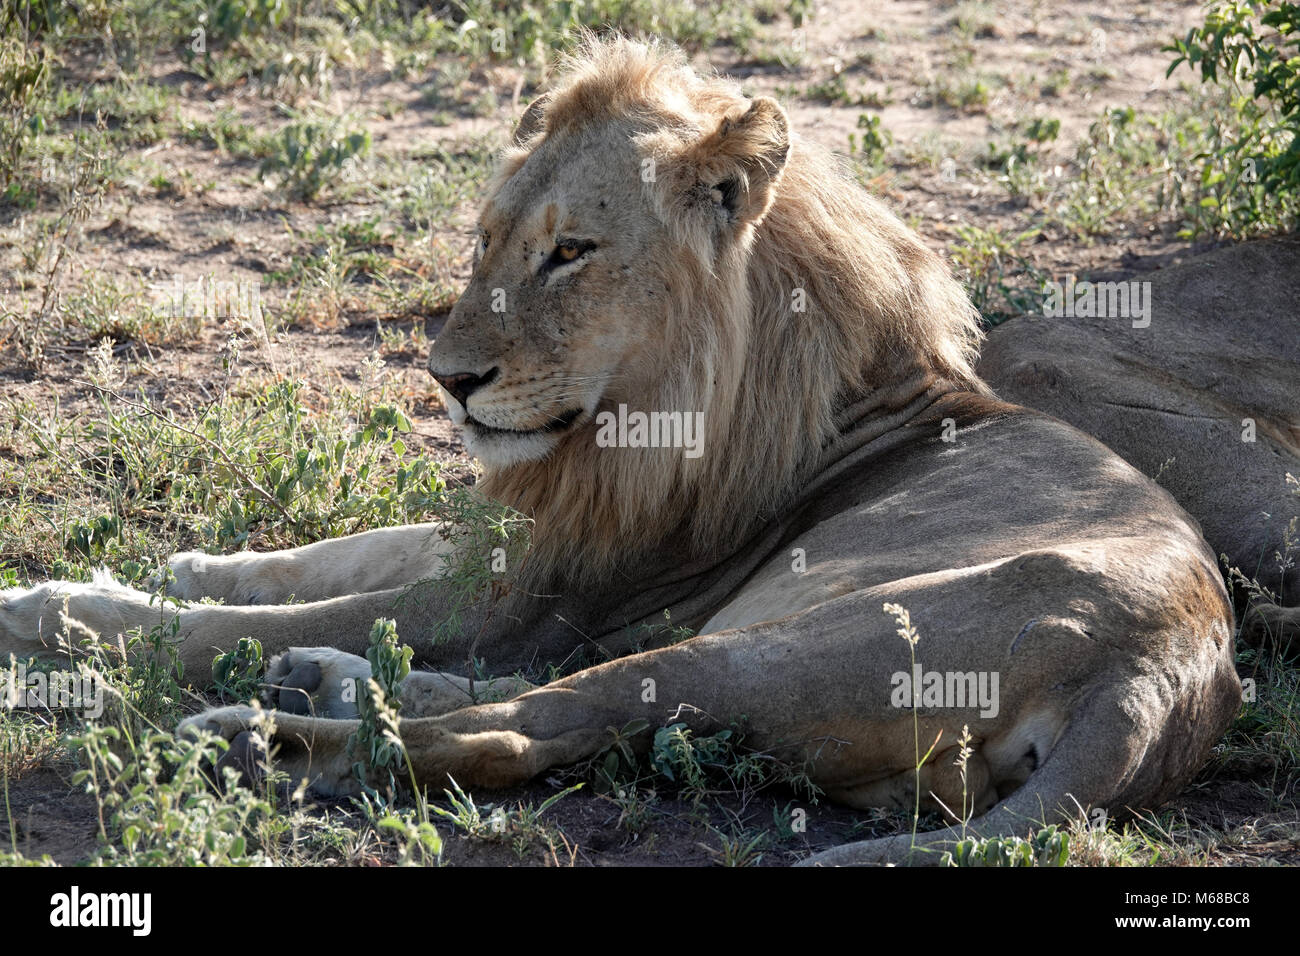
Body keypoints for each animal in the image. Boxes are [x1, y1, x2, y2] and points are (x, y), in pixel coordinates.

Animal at [0, 35, 1242, 865]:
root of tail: (1158, 675)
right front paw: (187, 567)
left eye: (572, 253)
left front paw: (58, 610)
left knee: (517, 727)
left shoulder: (537, 598)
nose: (447, 379)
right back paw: (318, 680)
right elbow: (347, 551)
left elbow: (241, 621)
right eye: (485, 241)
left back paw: (252, 736)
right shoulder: (535, 536)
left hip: (770, 642)